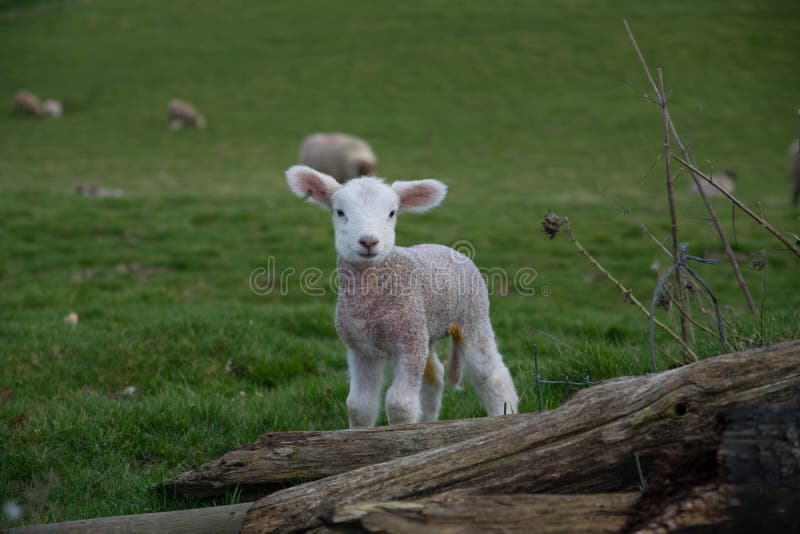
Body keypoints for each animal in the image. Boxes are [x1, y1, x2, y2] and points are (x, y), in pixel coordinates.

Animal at [286, 165, 519, 428]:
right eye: (340, 212)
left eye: (392, 213)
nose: (368, 241)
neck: (371, 307)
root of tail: (445, 247)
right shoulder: (361, 349)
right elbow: (359, 406)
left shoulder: (408, 346)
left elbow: (399, 404)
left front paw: (401, 432)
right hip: (424, 330)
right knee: (434, 375)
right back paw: (428, 420)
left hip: (473, 317)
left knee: (491, 374)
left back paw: (505, 414)